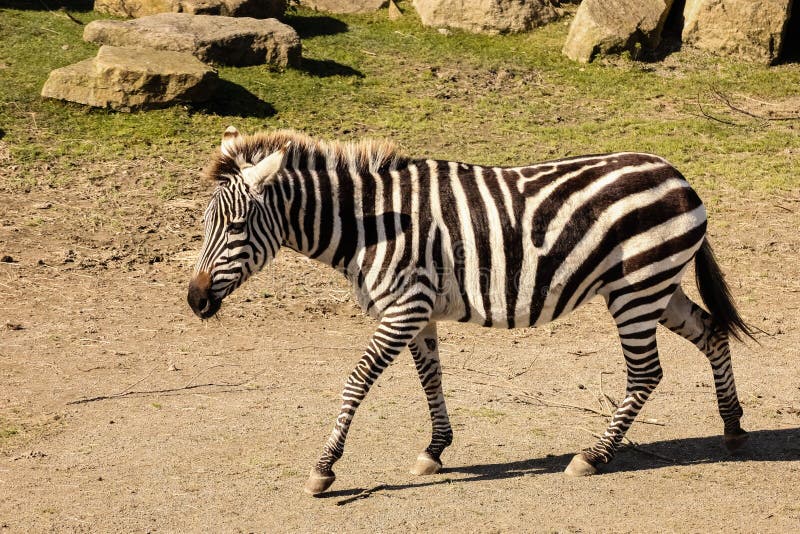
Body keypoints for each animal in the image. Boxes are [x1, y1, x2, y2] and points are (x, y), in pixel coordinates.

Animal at [187, 126, 752, 495]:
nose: (195, 301)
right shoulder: (418, 311)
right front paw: (435, 449)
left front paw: (324, 468)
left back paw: (594, 456)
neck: (368, 227)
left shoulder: (404, 307)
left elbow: (357, 380)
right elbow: (430, 378)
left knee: (645, 373)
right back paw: (731, 428)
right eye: (206, 224)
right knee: (711, 332)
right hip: (657, 286)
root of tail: (677, 175)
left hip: (636, 289)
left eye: (235, 227)